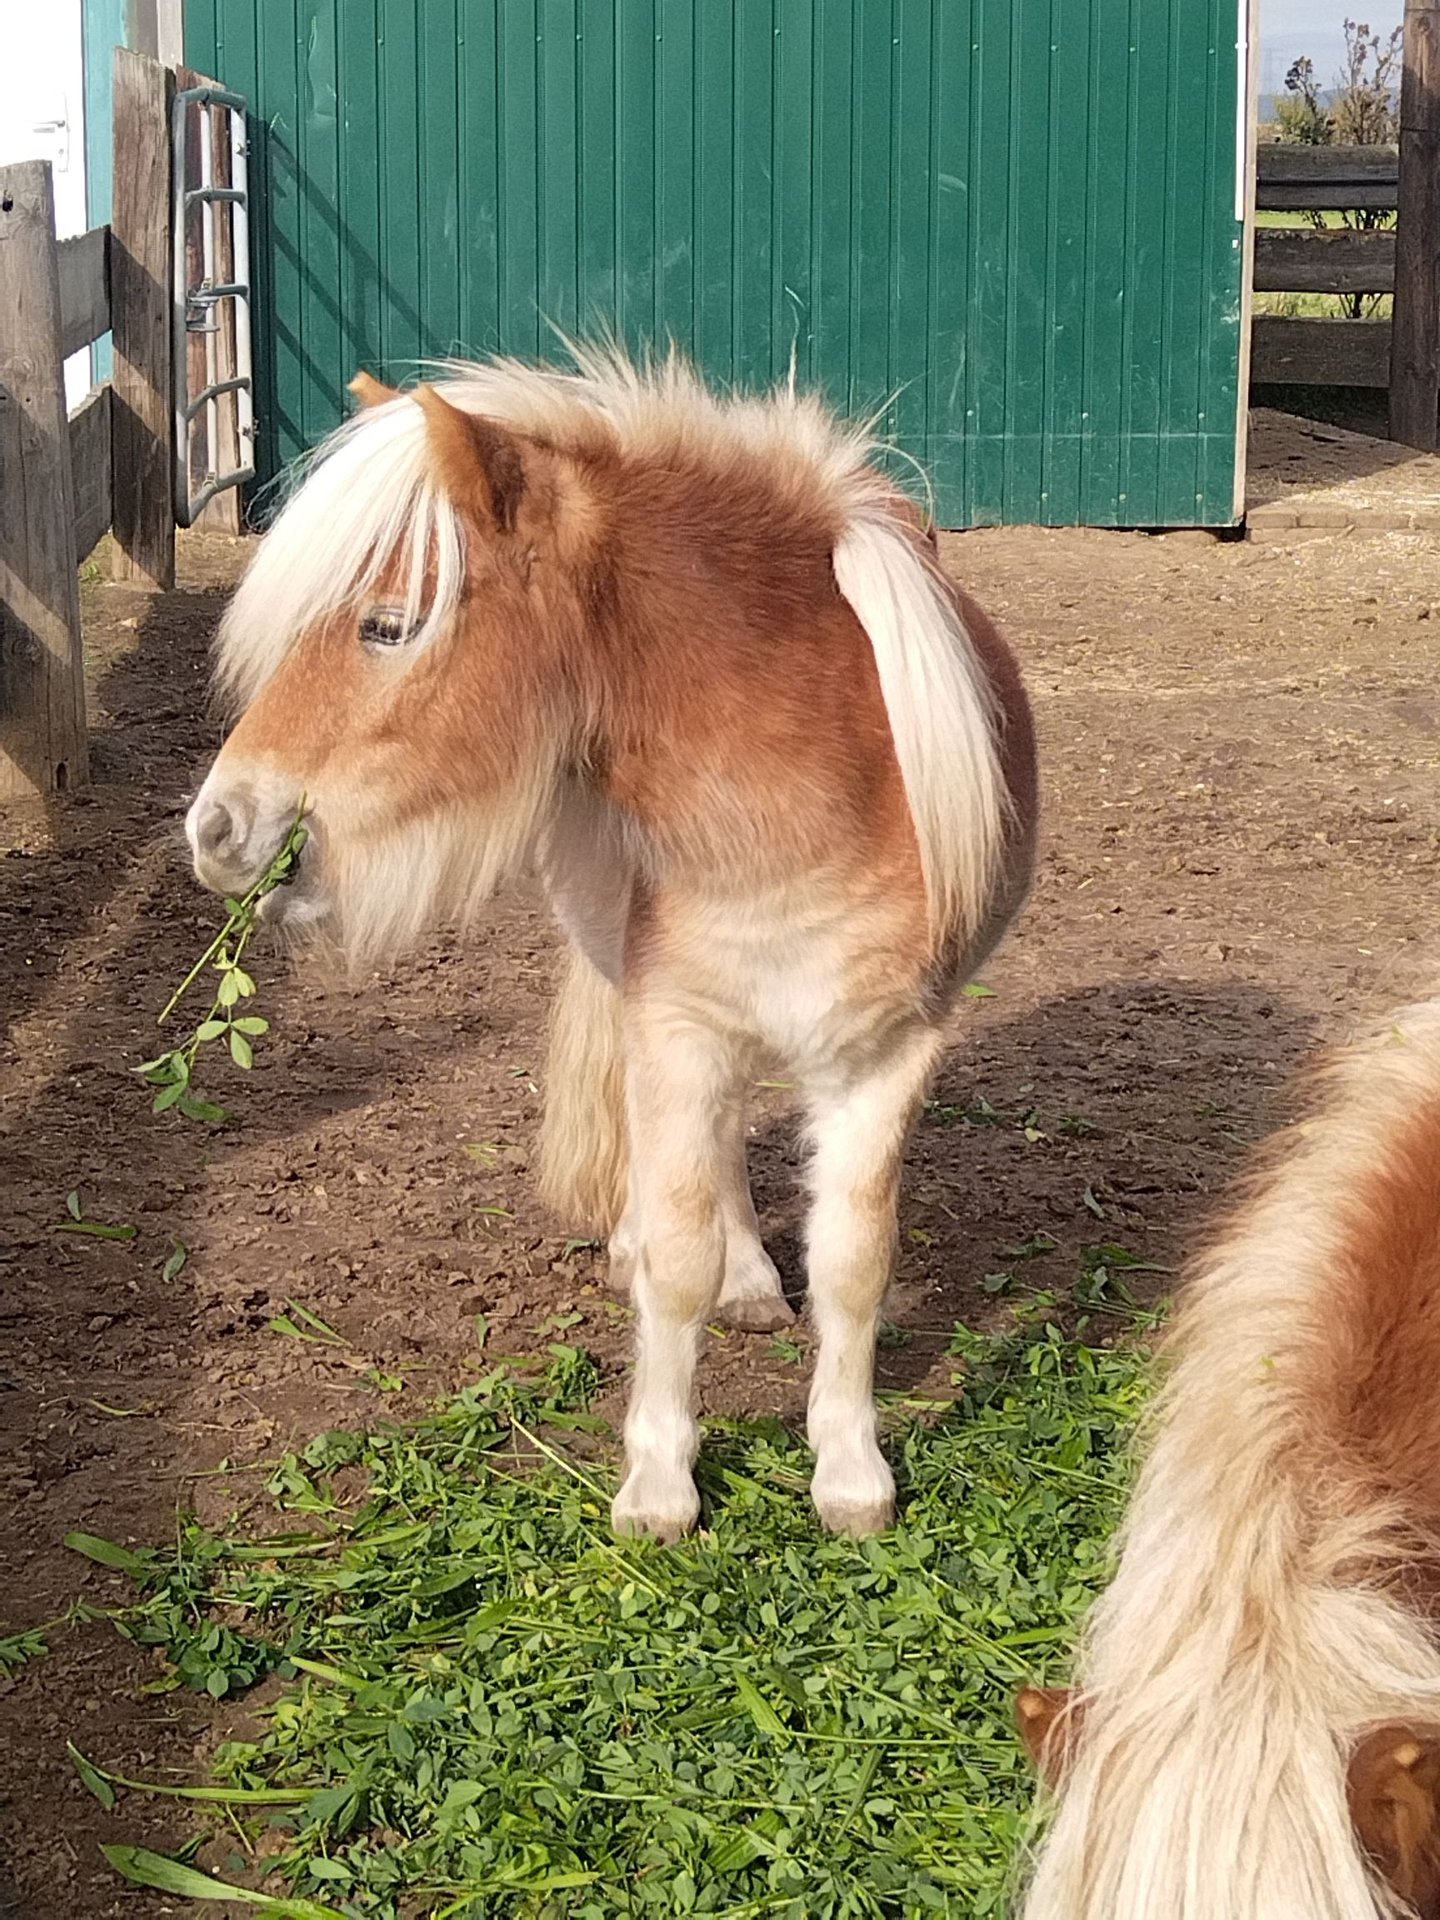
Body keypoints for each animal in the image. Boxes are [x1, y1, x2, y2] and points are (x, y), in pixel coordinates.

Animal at [183, 345, 1038, 1543]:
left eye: (387, 625)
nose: (217, 830)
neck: (805, 808)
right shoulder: (673, 1023)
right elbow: (675, 1265)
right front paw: (659, 1488)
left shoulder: (888, 1055)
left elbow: (854, 1263)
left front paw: (851, 1475)